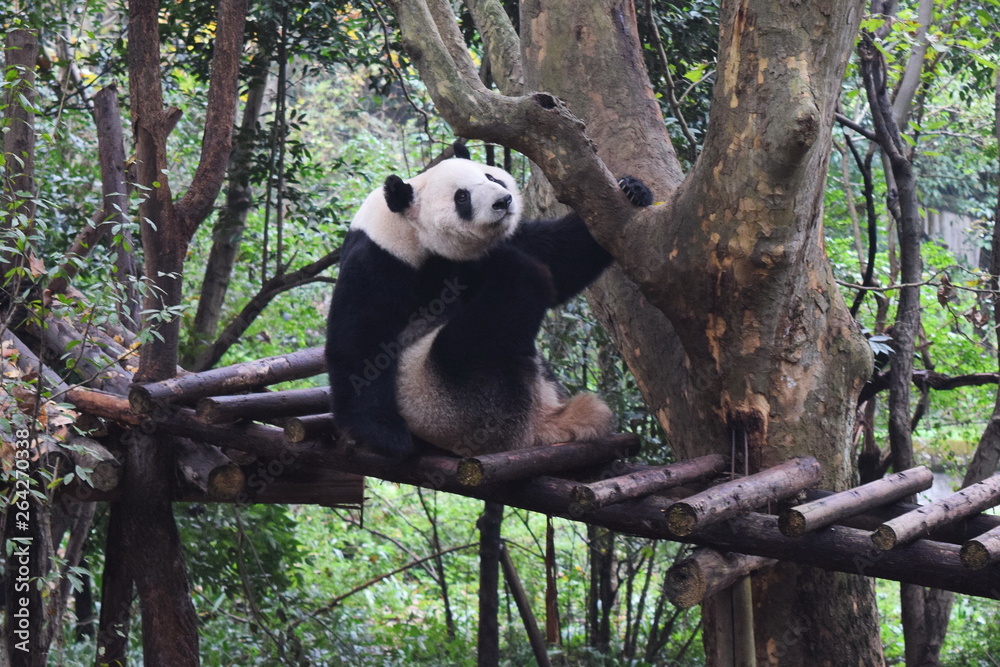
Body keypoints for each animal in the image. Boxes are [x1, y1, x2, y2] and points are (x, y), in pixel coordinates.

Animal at [325, 144, 653, 458]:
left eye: (491, 177)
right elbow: (362, 345)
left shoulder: (497, 244)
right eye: (462, 197)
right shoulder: (382, 260)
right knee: (489, 323)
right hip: (453, 399)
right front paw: (386, 436)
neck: (410, 230)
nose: (503, 201)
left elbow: (559, 255)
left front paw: (632, 189)